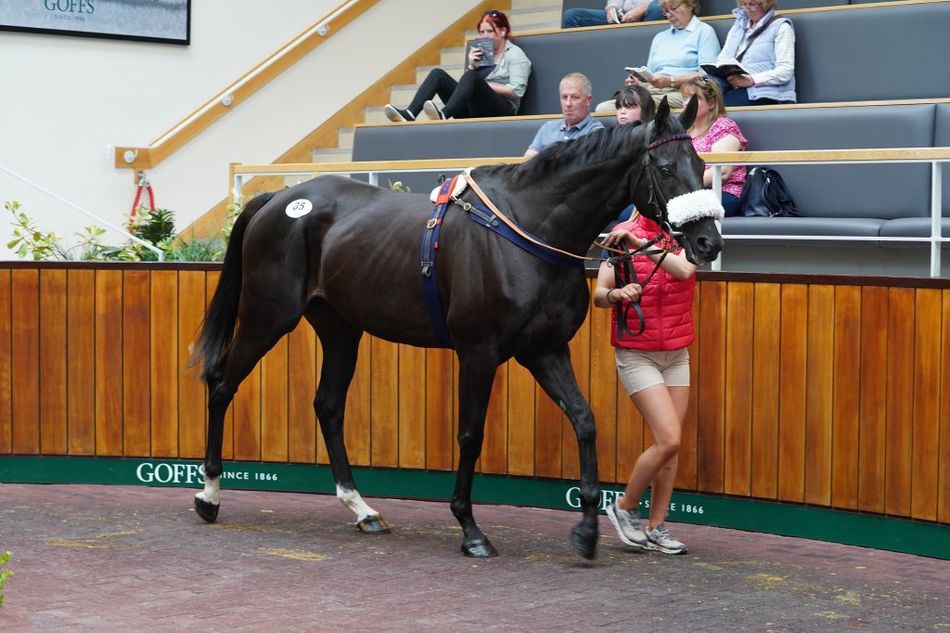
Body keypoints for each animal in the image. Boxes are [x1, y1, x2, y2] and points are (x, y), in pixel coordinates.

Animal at [190, 97, 723, 560]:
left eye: (700, 163)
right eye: (666, 167)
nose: (707, 242)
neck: (527, 230)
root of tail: (280, 197)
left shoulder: (545, 350)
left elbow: (585, 420)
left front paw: (588, 530)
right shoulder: (479, 352)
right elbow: (470, 435)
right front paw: (470, 530)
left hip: (341, 329)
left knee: (328, 405)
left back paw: (361, 508)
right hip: (267, 317)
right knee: (221, 383)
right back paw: (210, 495)